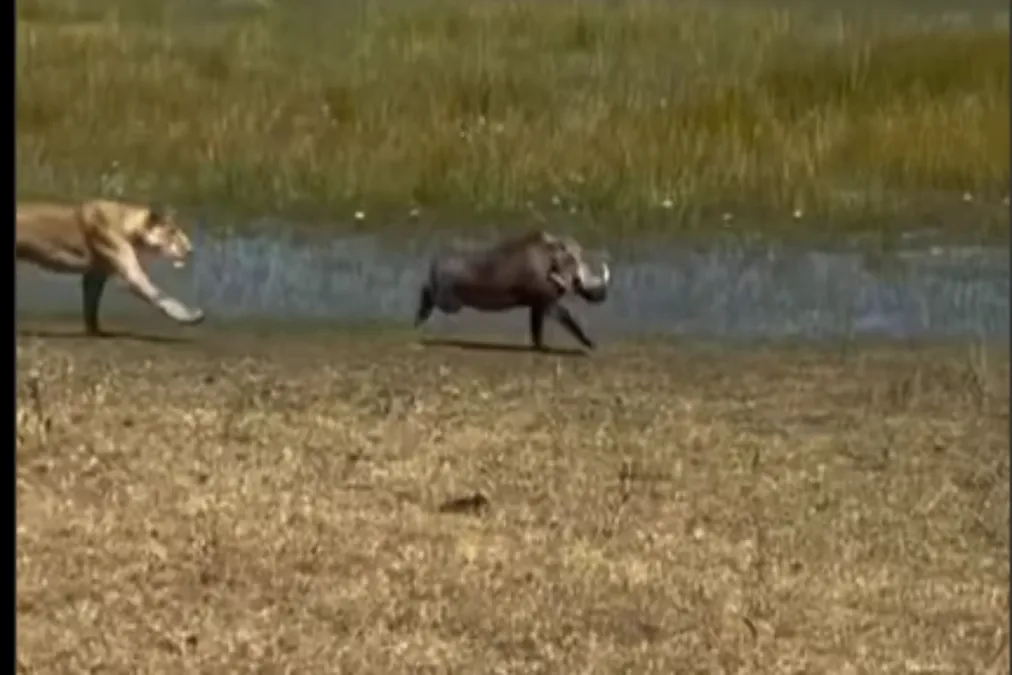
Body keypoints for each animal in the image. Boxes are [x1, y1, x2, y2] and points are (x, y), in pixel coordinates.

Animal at [16, 199, 206, 335]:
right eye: (172, 232)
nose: (191, 249)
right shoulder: (131, 274)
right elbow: (160, 296)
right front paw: (190, 317)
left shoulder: (96, 274)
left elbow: (91, 303)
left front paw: (94, 330)